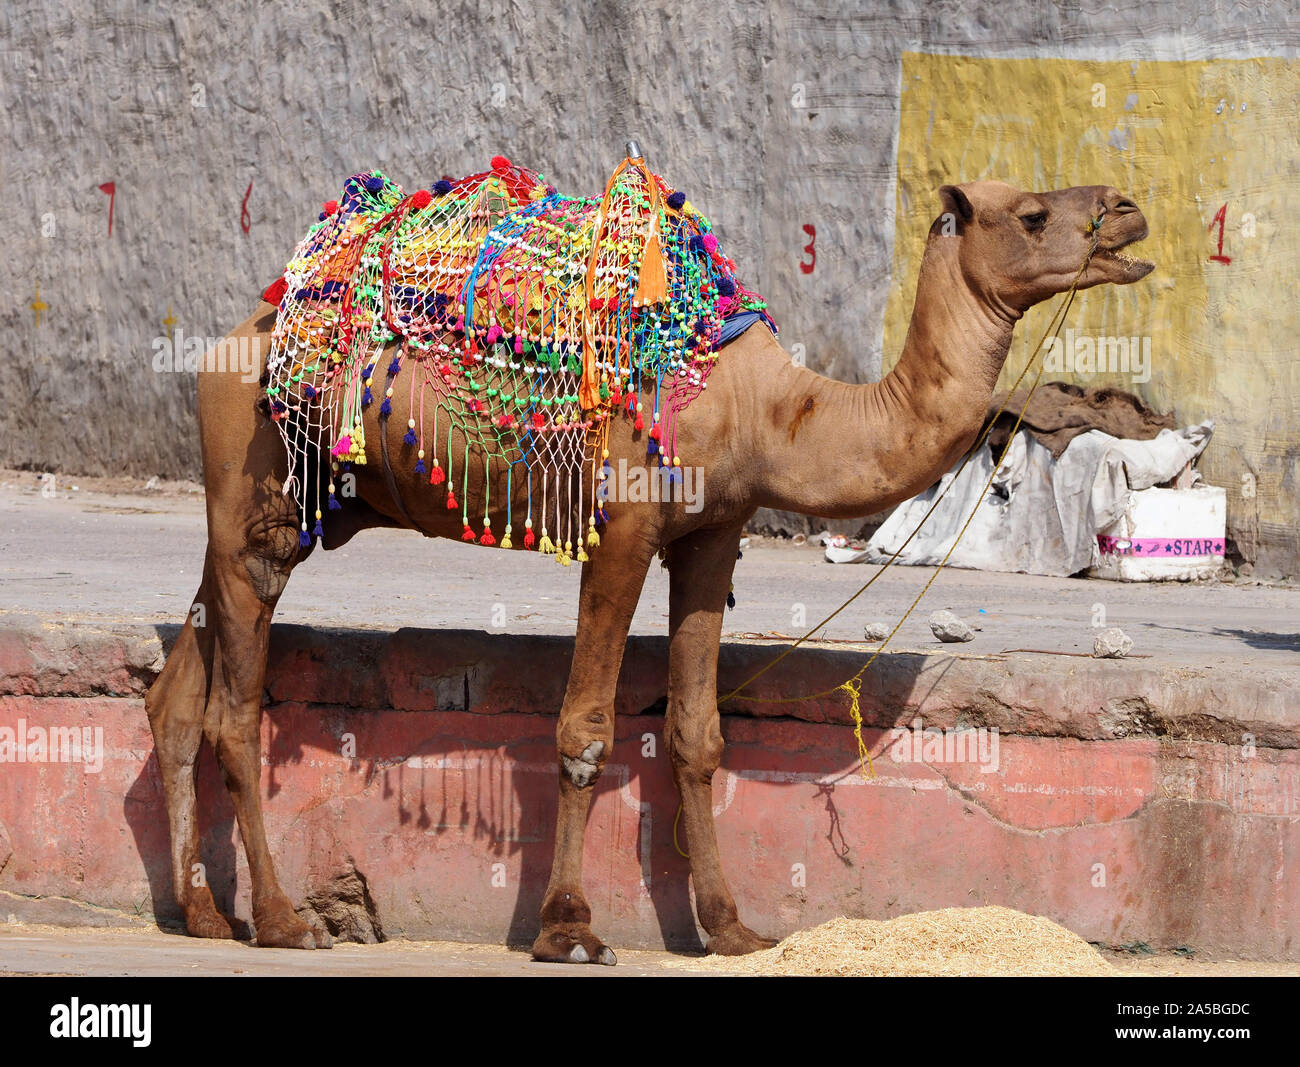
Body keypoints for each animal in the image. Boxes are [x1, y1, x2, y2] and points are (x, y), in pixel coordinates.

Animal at [143, 177, 1152, 962]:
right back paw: (283, 920)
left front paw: (732, 927)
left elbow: (700, 734)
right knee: (235, 712)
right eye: (1032, 213)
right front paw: (568, 927)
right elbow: (585, 728)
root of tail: (225, 345)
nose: (1129, 212)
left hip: (267, 511)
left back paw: (201, 913)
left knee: (179, 692)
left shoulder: (713, 533)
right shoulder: (623, 525)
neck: (768, 405)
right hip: (260, 485)